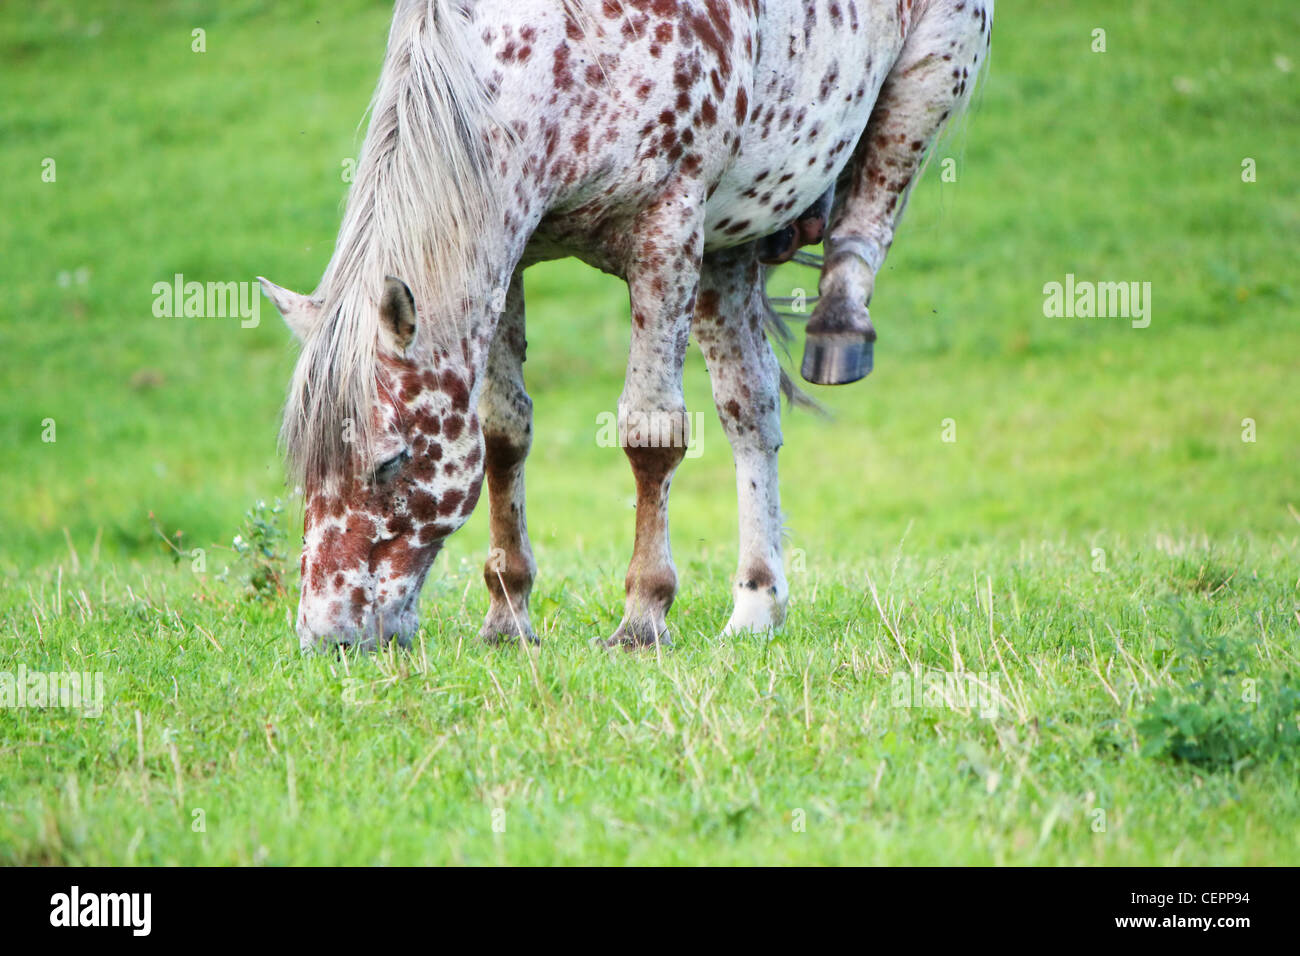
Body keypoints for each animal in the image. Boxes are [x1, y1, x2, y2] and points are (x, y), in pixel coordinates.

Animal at [258, 0, 992, 650]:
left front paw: (644, 614)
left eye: (392, 460)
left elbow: (651, 433)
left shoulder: (665, 233)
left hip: (928, 77)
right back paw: (756, 607)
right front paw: (508, 615)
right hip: (725, 253)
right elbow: (503, 433)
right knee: (749, 408)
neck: (563, 51)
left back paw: (841, 327)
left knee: (873, 205)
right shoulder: (509, 252)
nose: (326, 636)